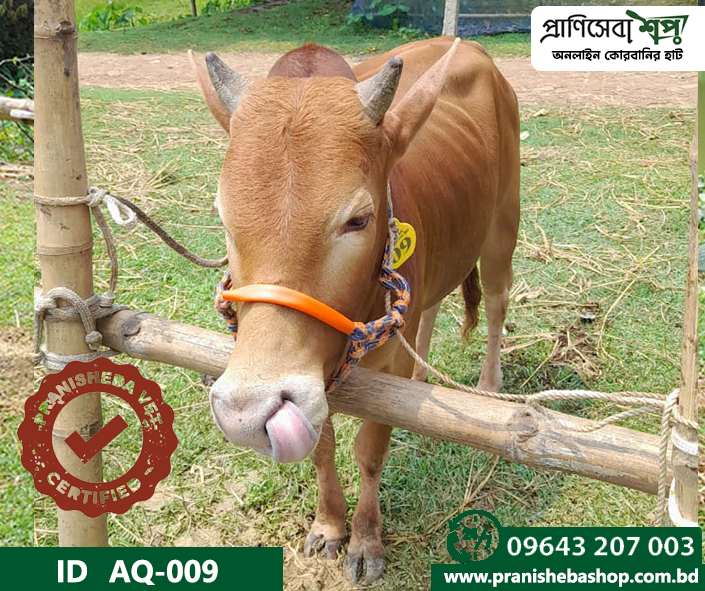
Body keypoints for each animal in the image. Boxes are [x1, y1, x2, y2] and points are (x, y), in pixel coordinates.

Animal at [190, 37, 519, 583]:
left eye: (358, 220)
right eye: (222, 216)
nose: (245, 413)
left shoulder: (383, 369)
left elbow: (369, 451)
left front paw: (365, 540)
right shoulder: (313, 377)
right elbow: (322, 448)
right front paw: (328, 526)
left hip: (501, 227)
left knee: (495, 303)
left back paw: (489, 386)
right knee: (431, 311)